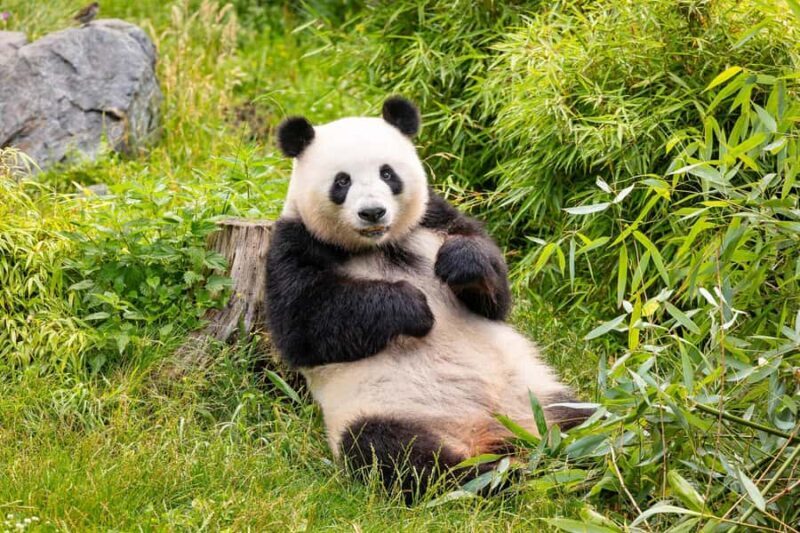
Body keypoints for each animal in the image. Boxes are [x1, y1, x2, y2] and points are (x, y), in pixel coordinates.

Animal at [266, 96, 592, 500]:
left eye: (388, 173)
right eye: (342, 181)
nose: (372, 212)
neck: (381, 245)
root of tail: (489, 435)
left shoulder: (434, 220)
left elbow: (495, 293)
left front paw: (462, 264)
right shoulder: (295, 243)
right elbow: (304, 325)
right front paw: (413, 307)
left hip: (537, 395)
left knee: (588, 417)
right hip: (388, 410)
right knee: (396, 453)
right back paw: (496, 478)